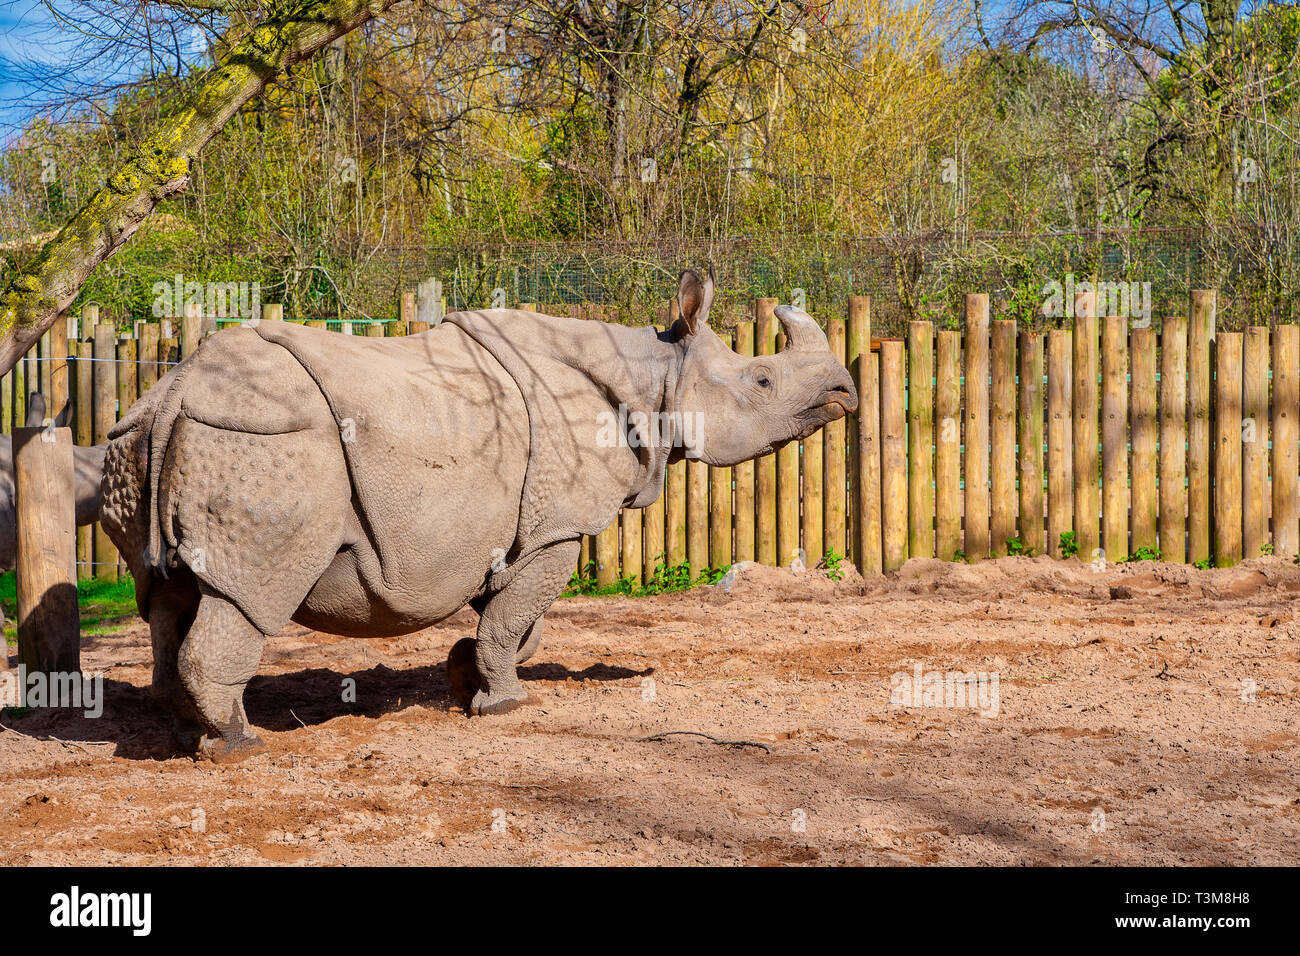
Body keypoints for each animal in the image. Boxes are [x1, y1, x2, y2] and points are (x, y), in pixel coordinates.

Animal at [100, 269, 858, 761]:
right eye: (763, 380)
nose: (846, 390)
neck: (658, 373)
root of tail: (175, 391)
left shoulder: (501, 526)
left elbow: (514, 618)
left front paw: (467, 677)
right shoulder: (557, 526)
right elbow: (518, 611)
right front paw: (506, 705)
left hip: (140, 438)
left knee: (166, 595)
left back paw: (187, 741)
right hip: (268, 443)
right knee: (247, 595)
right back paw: (240, 747)